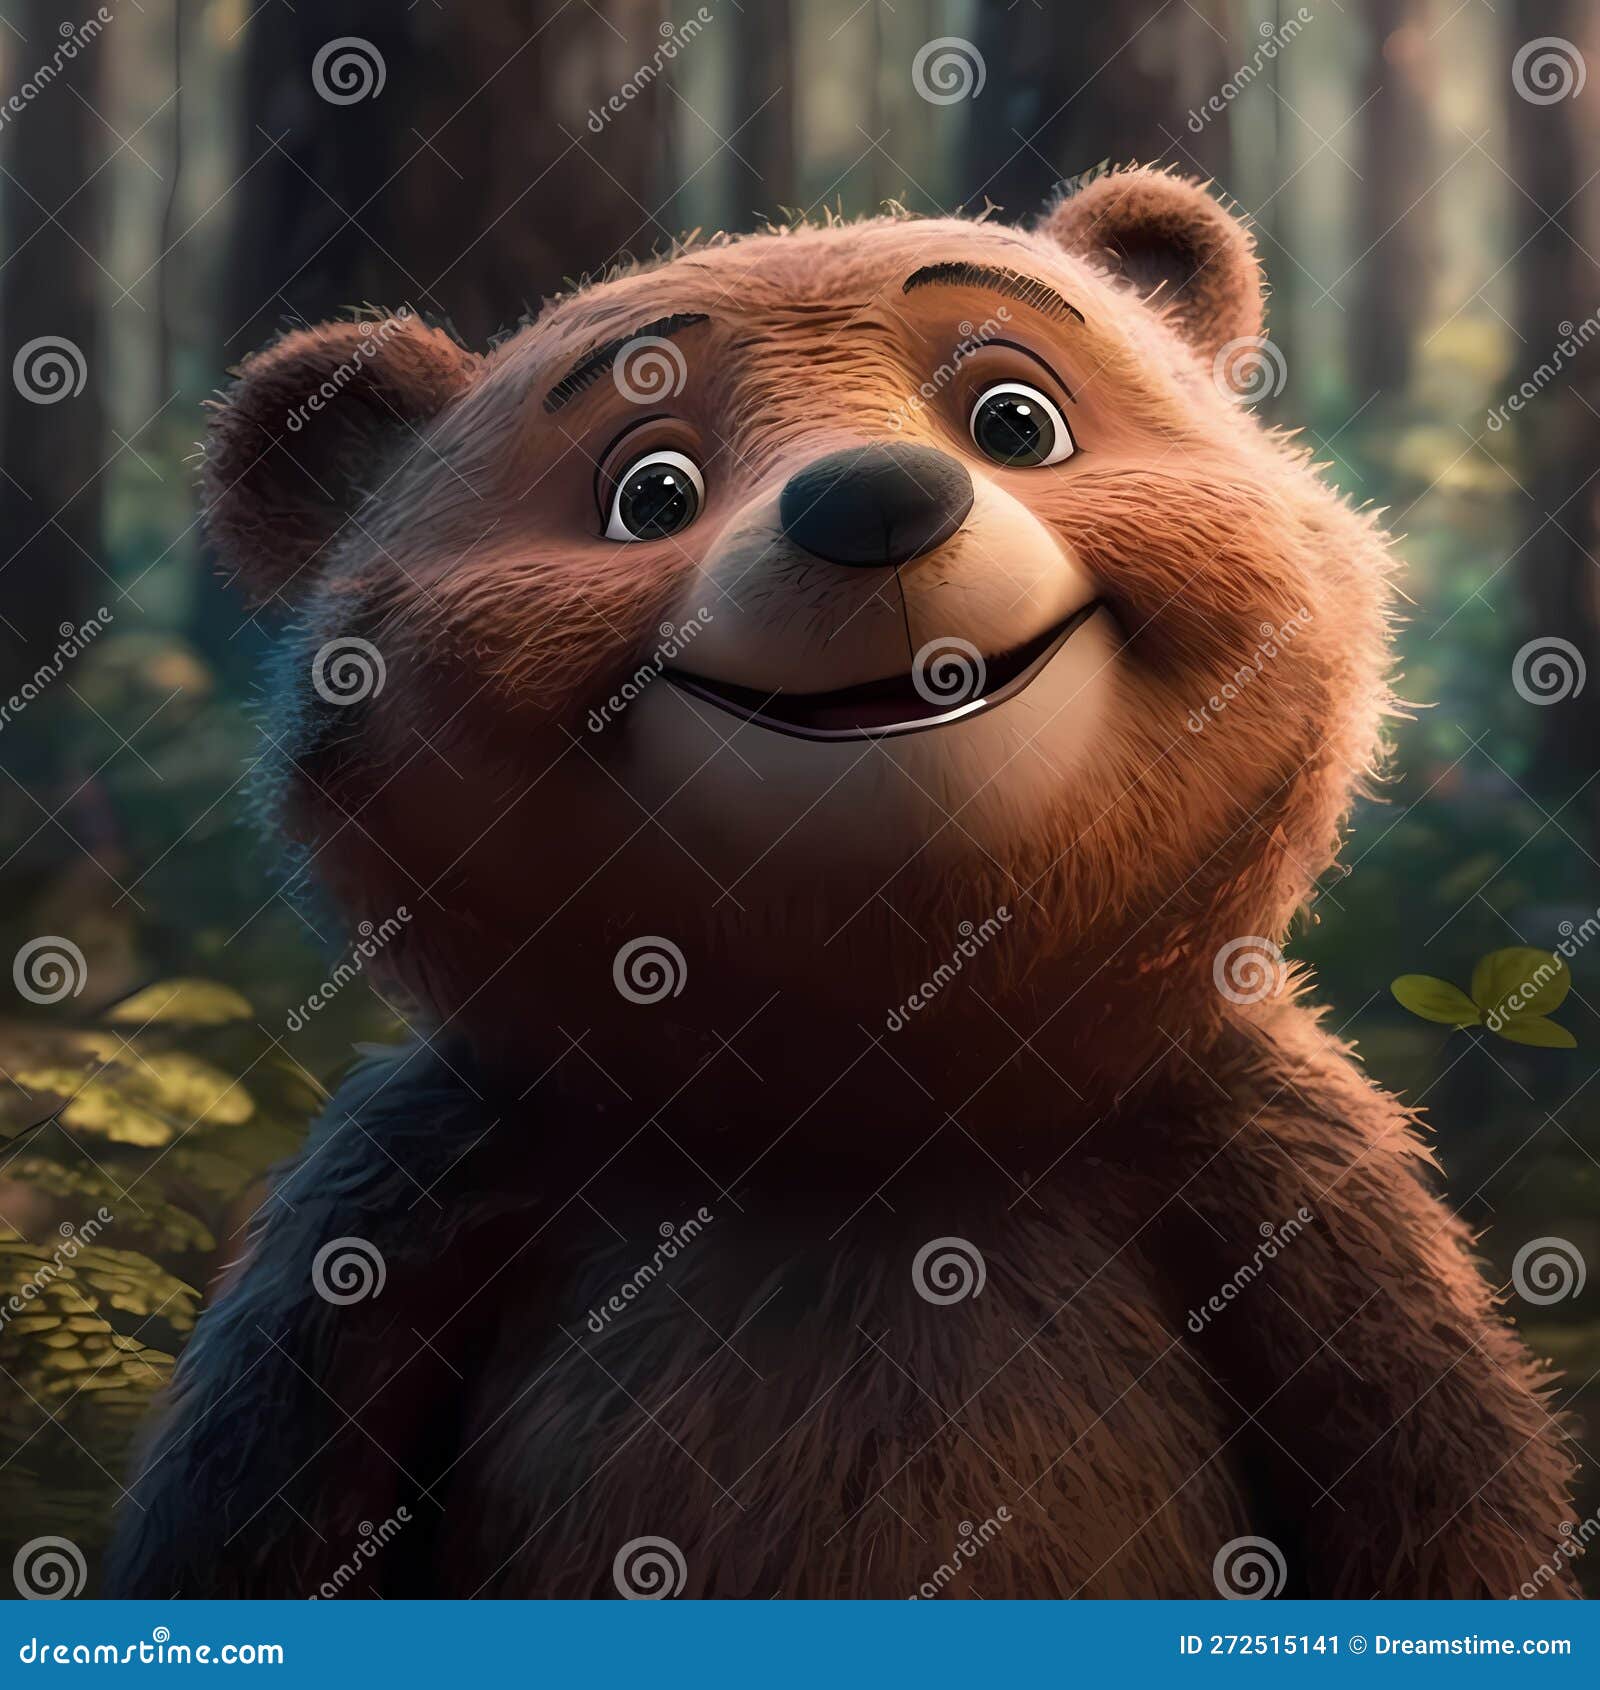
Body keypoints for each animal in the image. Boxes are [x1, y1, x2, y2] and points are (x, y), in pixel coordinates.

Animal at [105, 168, 1576, 1600]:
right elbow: (241, 1508)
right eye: (651, 493)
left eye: (1017, 418)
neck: (866, 1126)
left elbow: (1440, 1484)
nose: (874, 499)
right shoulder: (413, 1191)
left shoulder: (1268, 1159)